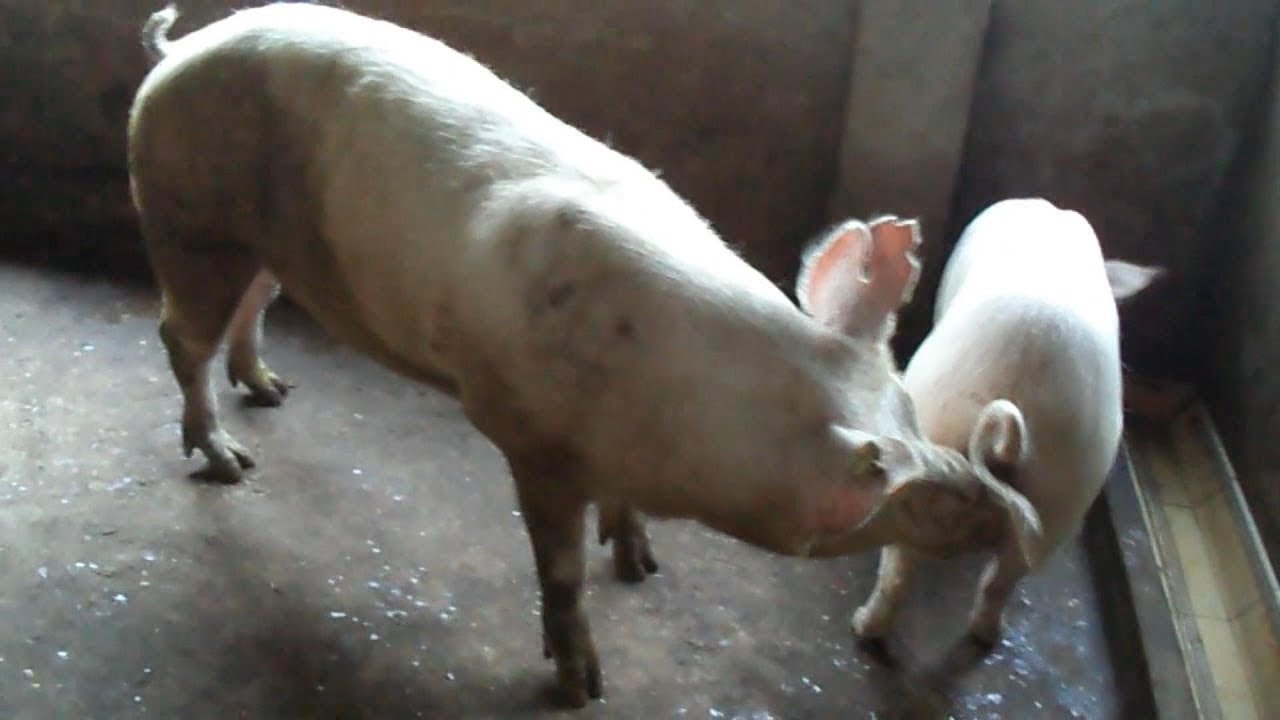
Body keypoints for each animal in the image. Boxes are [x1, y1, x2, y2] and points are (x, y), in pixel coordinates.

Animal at [127, 3, 1037, 706]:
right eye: (922, 501)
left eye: (915, 413)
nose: (1024, 520)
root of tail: (177, 53)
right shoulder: (531, 437)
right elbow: (559, 570)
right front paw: (581, 685)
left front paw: (641, 565)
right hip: (185, 219)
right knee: (181, 336)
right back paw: (228, 461)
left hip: (256, 242)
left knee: (253, 305)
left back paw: (272, 389)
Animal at [849, 197, 1161, 647]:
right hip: (1061, 496)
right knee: (1001, 581)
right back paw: (985, 636)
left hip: (924, 455)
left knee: (898, 572)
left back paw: (863, 627)